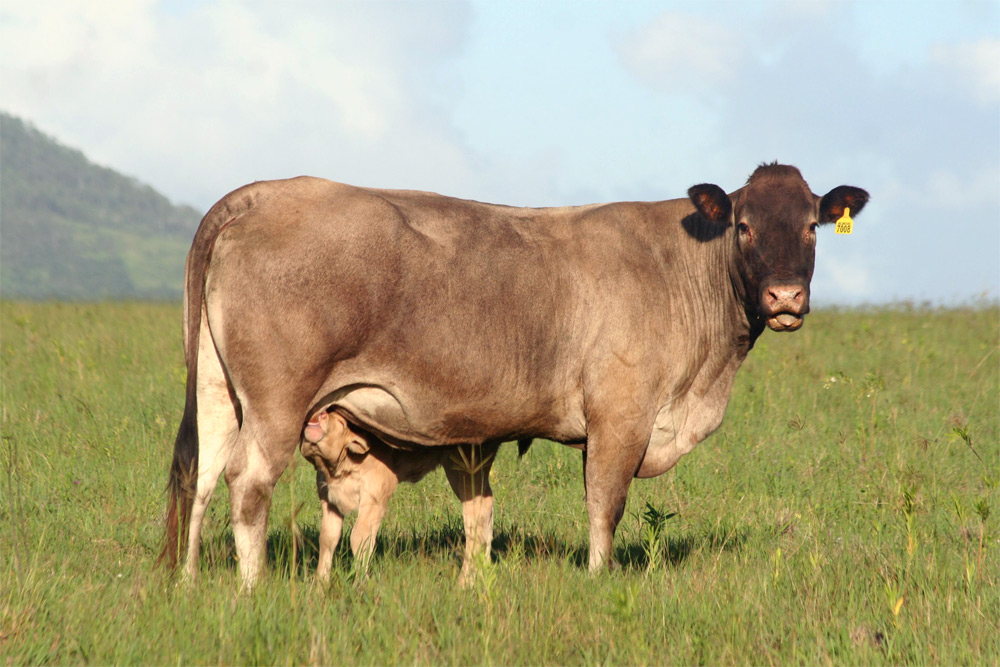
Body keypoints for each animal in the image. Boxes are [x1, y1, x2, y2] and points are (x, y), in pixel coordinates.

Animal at [300, 409, 499, 583]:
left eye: (341, 423)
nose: (320, 413)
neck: (337, 470)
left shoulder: (374, 497)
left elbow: (359, 537)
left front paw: (361, 583)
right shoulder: (328, 499)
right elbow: (327, 538)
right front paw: (320, 585)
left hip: (464, 467)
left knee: (475, 517)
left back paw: (465, 581)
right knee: (485, 506)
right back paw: (484, 570)